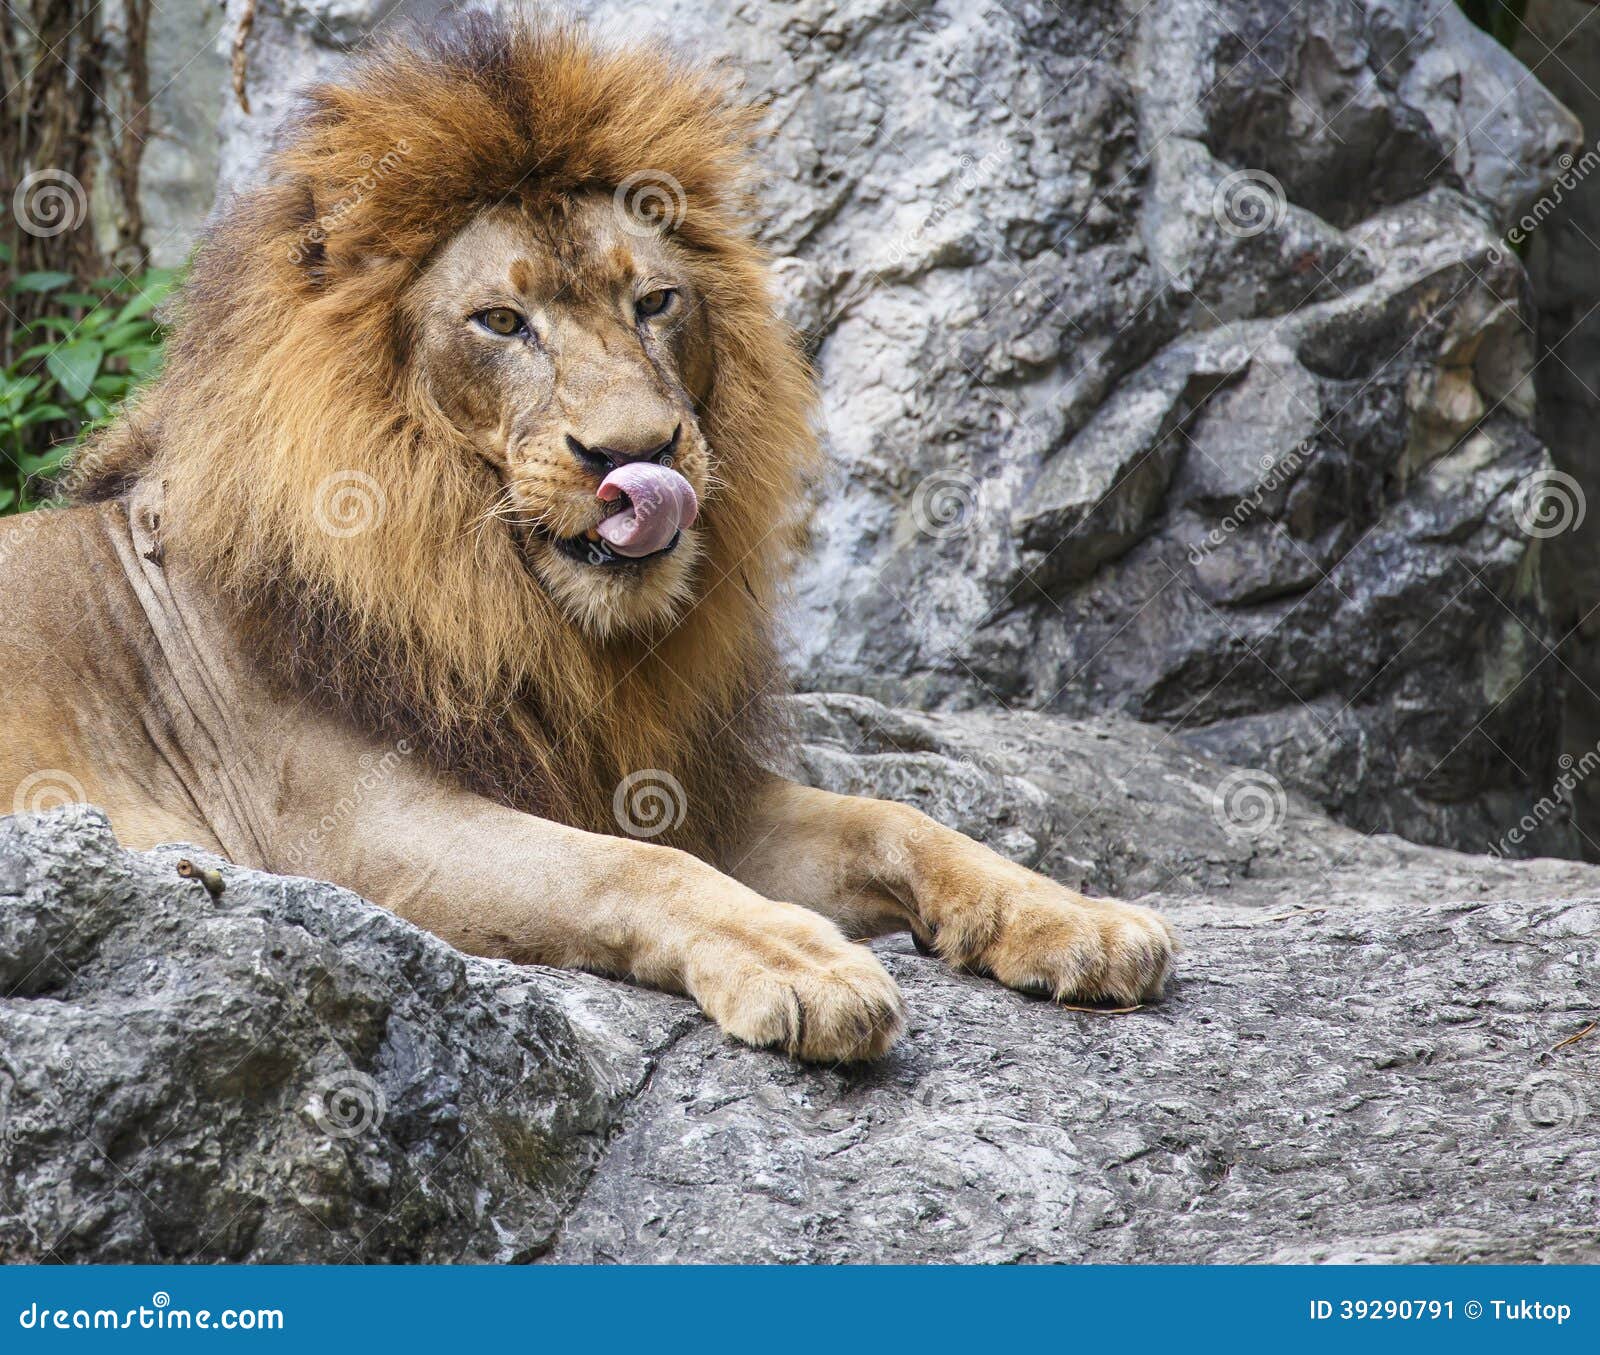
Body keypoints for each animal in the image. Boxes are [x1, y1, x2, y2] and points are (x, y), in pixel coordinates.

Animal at [0, 15, 1172, 1061]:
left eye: (654, 301)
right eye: (500, 323)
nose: (636, 453)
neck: (514, 604)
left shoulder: (670, 783)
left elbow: (902, 818)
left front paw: (1079, 915)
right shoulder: (355, 835)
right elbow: (631, 869)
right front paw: (806, 966)